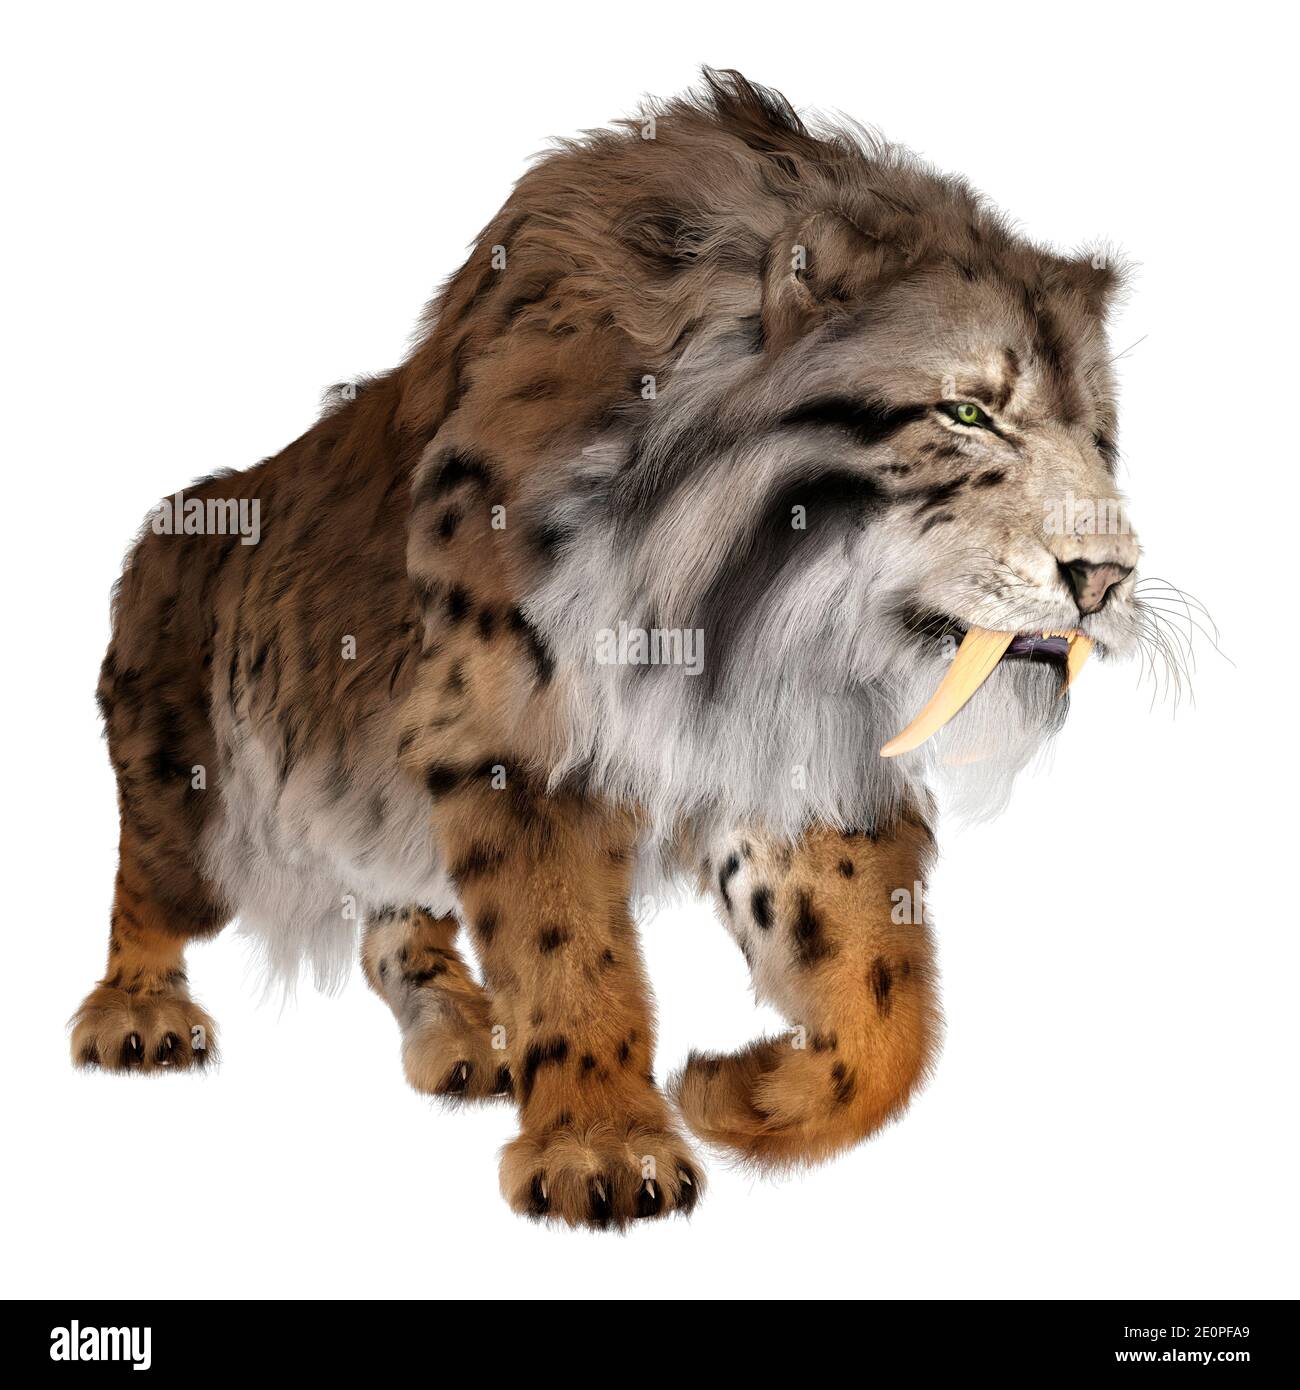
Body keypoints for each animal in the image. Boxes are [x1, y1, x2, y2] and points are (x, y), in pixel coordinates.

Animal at [76, 70, 1143, 1228]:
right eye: (967, 415)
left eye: (1099, 439)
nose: (1110, 577)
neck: (766, 610)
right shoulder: (513, 741)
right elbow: (569, 954)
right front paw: (603, 1147)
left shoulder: (782, 752)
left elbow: (882, 1003)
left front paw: (738, 1091)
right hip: (195, 799)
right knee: (148, 886)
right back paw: (136, 1015)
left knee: (392, 918)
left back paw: (467, 1034)